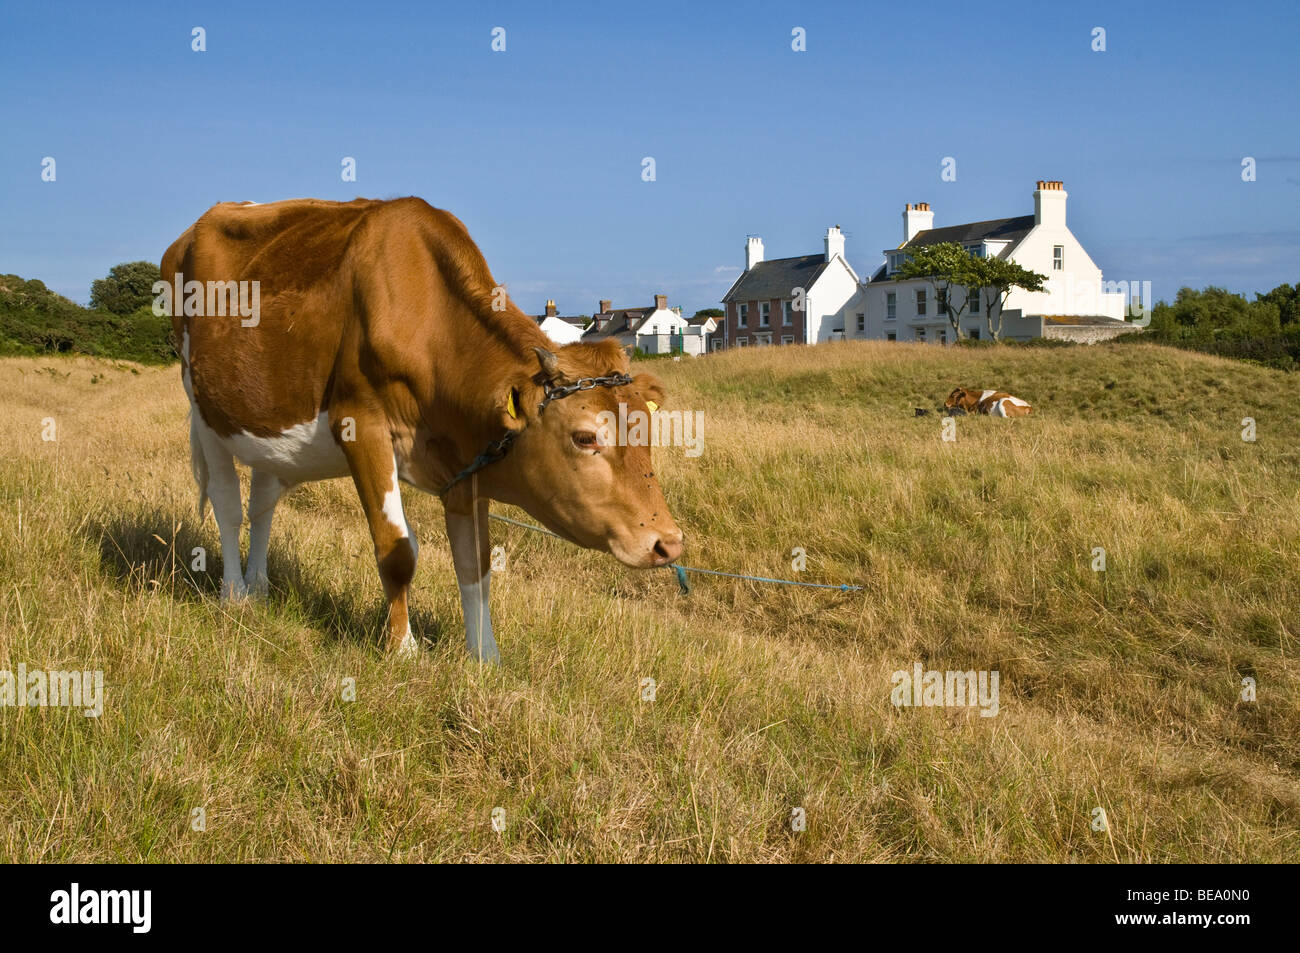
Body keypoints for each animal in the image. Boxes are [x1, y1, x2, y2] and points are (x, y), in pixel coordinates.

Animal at [160, 197, 684, 663]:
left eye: (648, 430)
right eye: (585, 437)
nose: (669, 543)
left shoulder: (468, 460)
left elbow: (475, 564)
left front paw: (485, 658)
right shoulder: (361, 426)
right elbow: (397, 552)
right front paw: (404, 651)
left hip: (270, 422)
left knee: (263, 503)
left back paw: (260, 587)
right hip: (202, 406)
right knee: (228, 505)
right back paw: (234, 594)